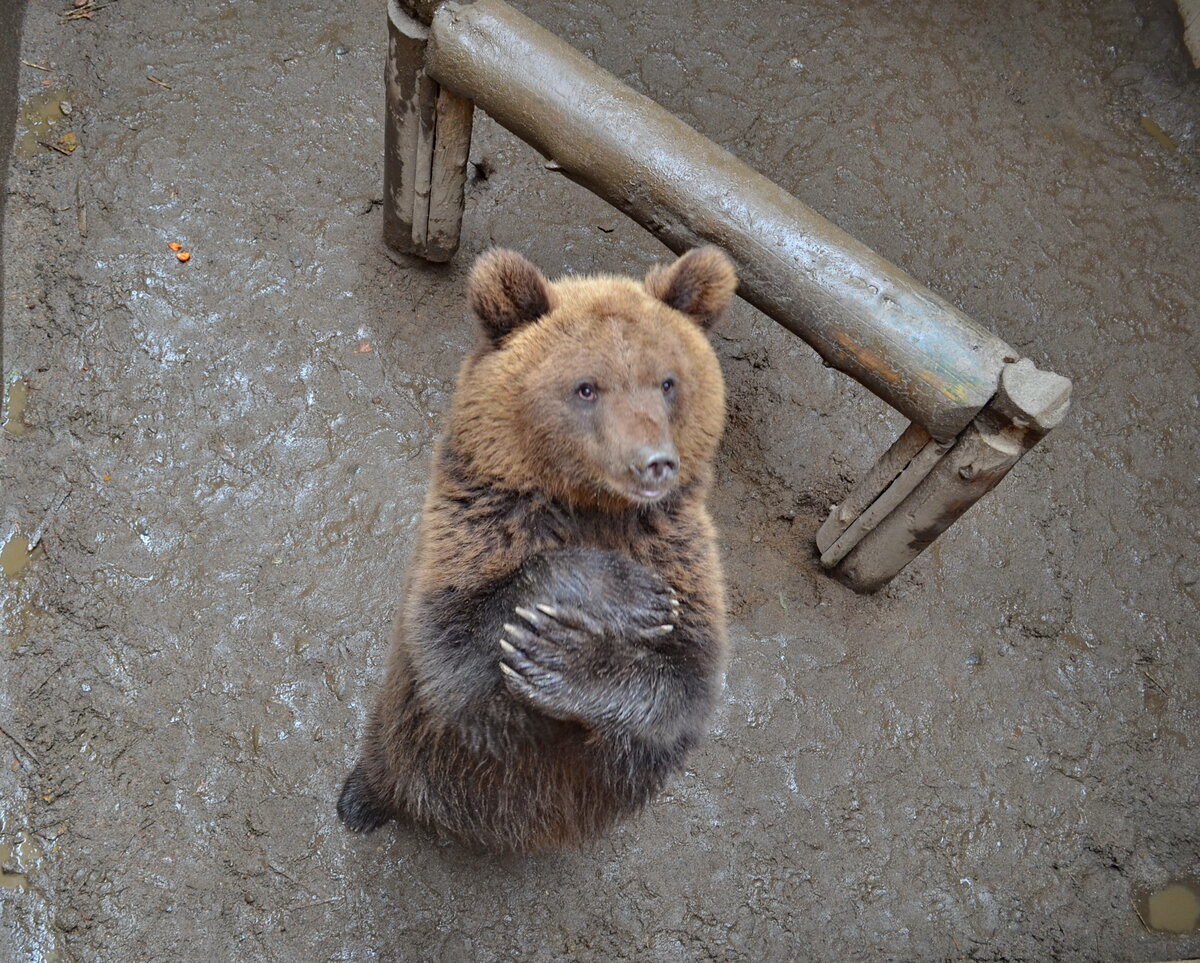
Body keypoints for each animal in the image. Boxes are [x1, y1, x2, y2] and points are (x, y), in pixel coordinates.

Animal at [333, 243, 734, 850]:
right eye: (586, 387)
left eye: (667, 381)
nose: (654, 462)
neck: (591, 503)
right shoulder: (474, 525)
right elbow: (452, 641)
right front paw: (626, 597)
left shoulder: (681, 550)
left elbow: (686, 683)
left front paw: (560, 658)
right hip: (405, 731)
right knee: (389, 752)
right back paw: (361, 800)